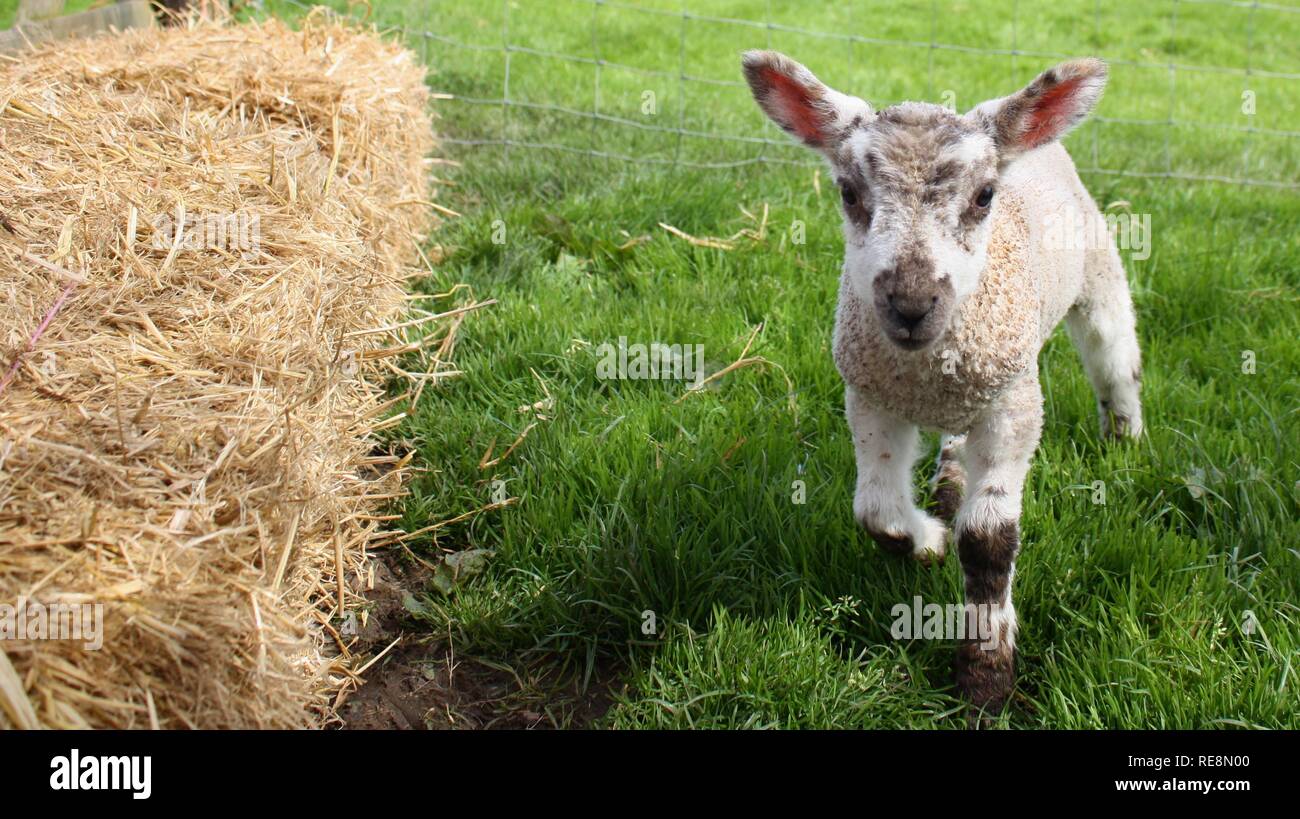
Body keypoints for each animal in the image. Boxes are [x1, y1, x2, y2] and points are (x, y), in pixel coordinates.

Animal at [743, 51, 1144, 712]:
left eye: (984, 197)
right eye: (848, 192)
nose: (910, 304)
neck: (929, 368)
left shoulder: (1015, 404)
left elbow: (987, 539)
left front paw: (986, 678)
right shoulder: (871, 396)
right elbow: (876, 512)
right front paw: (928, 542)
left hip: (1096, 270)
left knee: (1115, 356)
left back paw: (1124, 436)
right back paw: (950, 482)